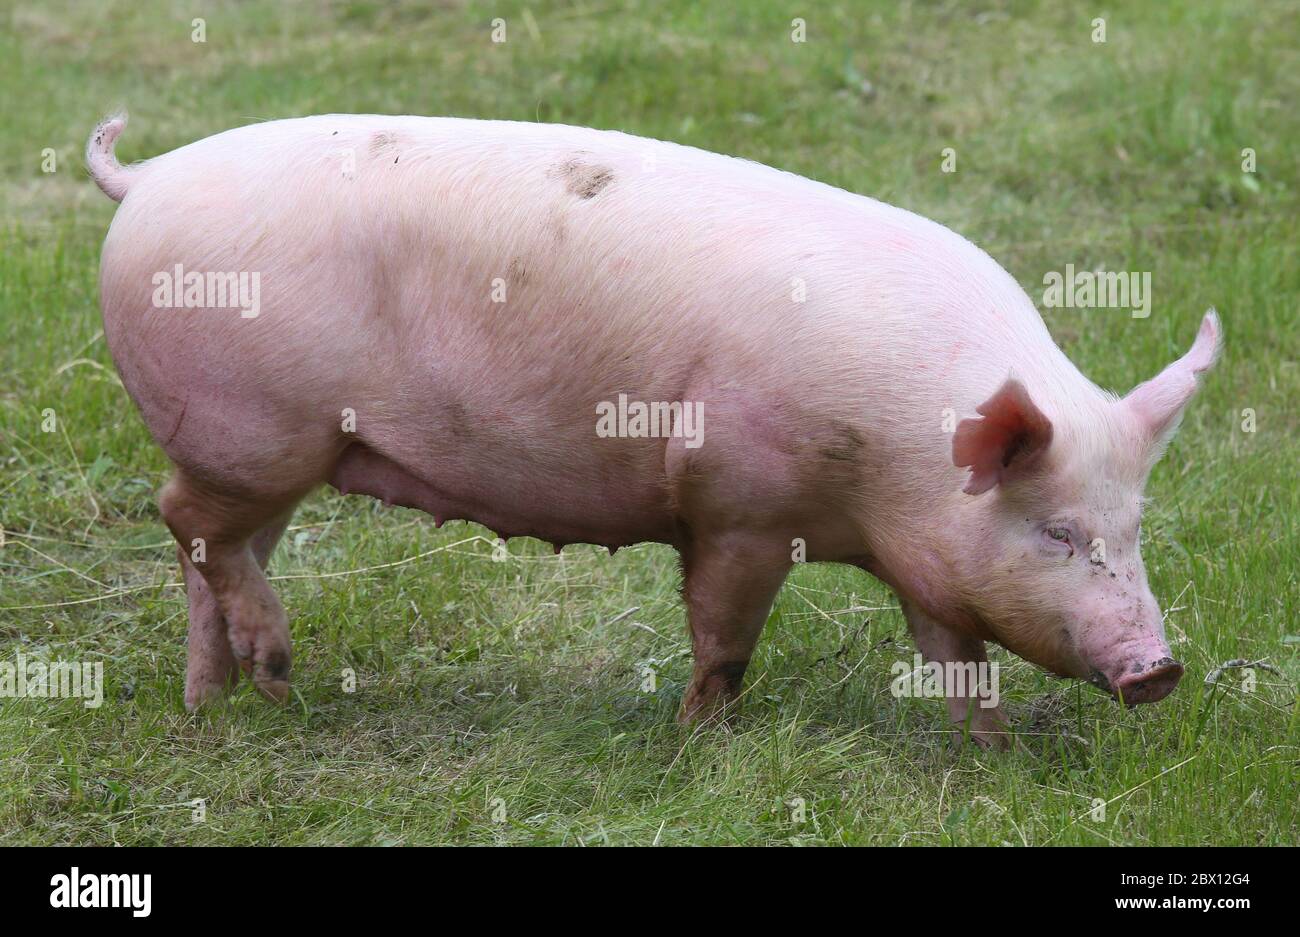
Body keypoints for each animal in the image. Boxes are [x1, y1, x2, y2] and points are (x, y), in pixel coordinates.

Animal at [88, 113, 1220, 747]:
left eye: (1133, 531)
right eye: (1058, 532)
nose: (1158, 668)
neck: (895, 465)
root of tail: (145, 178)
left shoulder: (929, 558)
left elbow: (957, 654)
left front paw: (987, 755)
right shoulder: (734, 503)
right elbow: (725, 638)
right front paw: (695, 740)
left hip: (269, 455)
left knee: (210, 554)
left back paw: (227, 705)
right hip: (251, 432)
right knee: (179, 514)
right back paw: (274, 674)